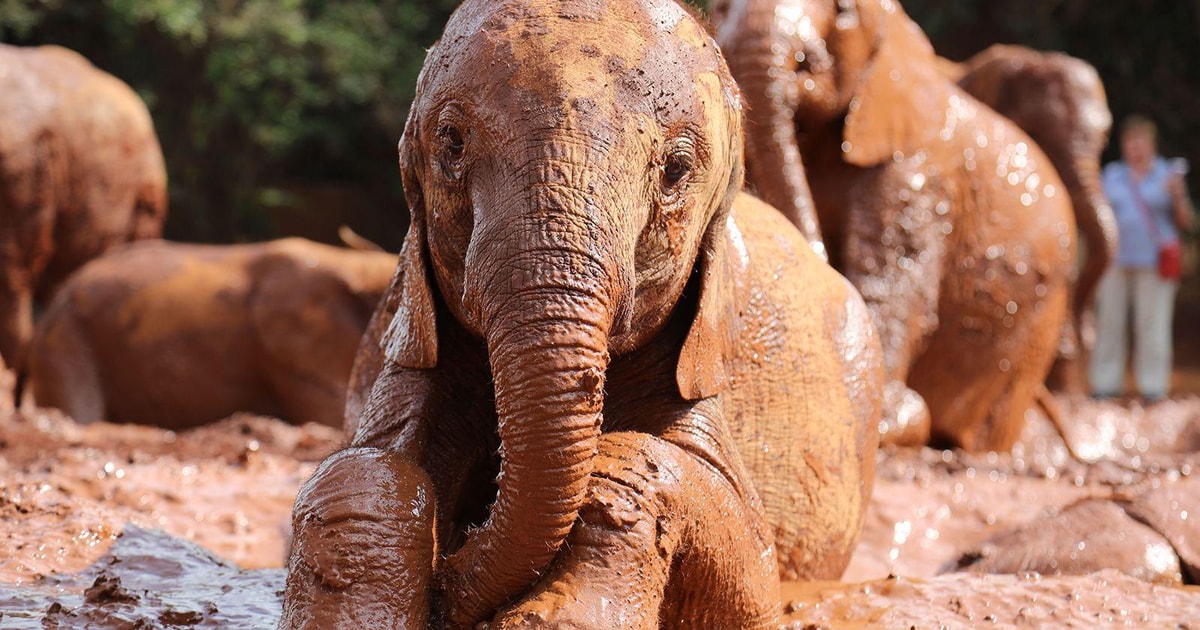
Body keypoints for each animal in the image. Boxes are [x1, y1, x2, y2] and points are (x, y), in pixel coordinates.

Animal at [712, 0, 1076, 451]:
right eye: (721, 9)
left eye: (844, 13)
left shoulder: (917, 171)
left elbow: (896, 281)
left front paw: (886, 422)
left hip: (1040, 324)